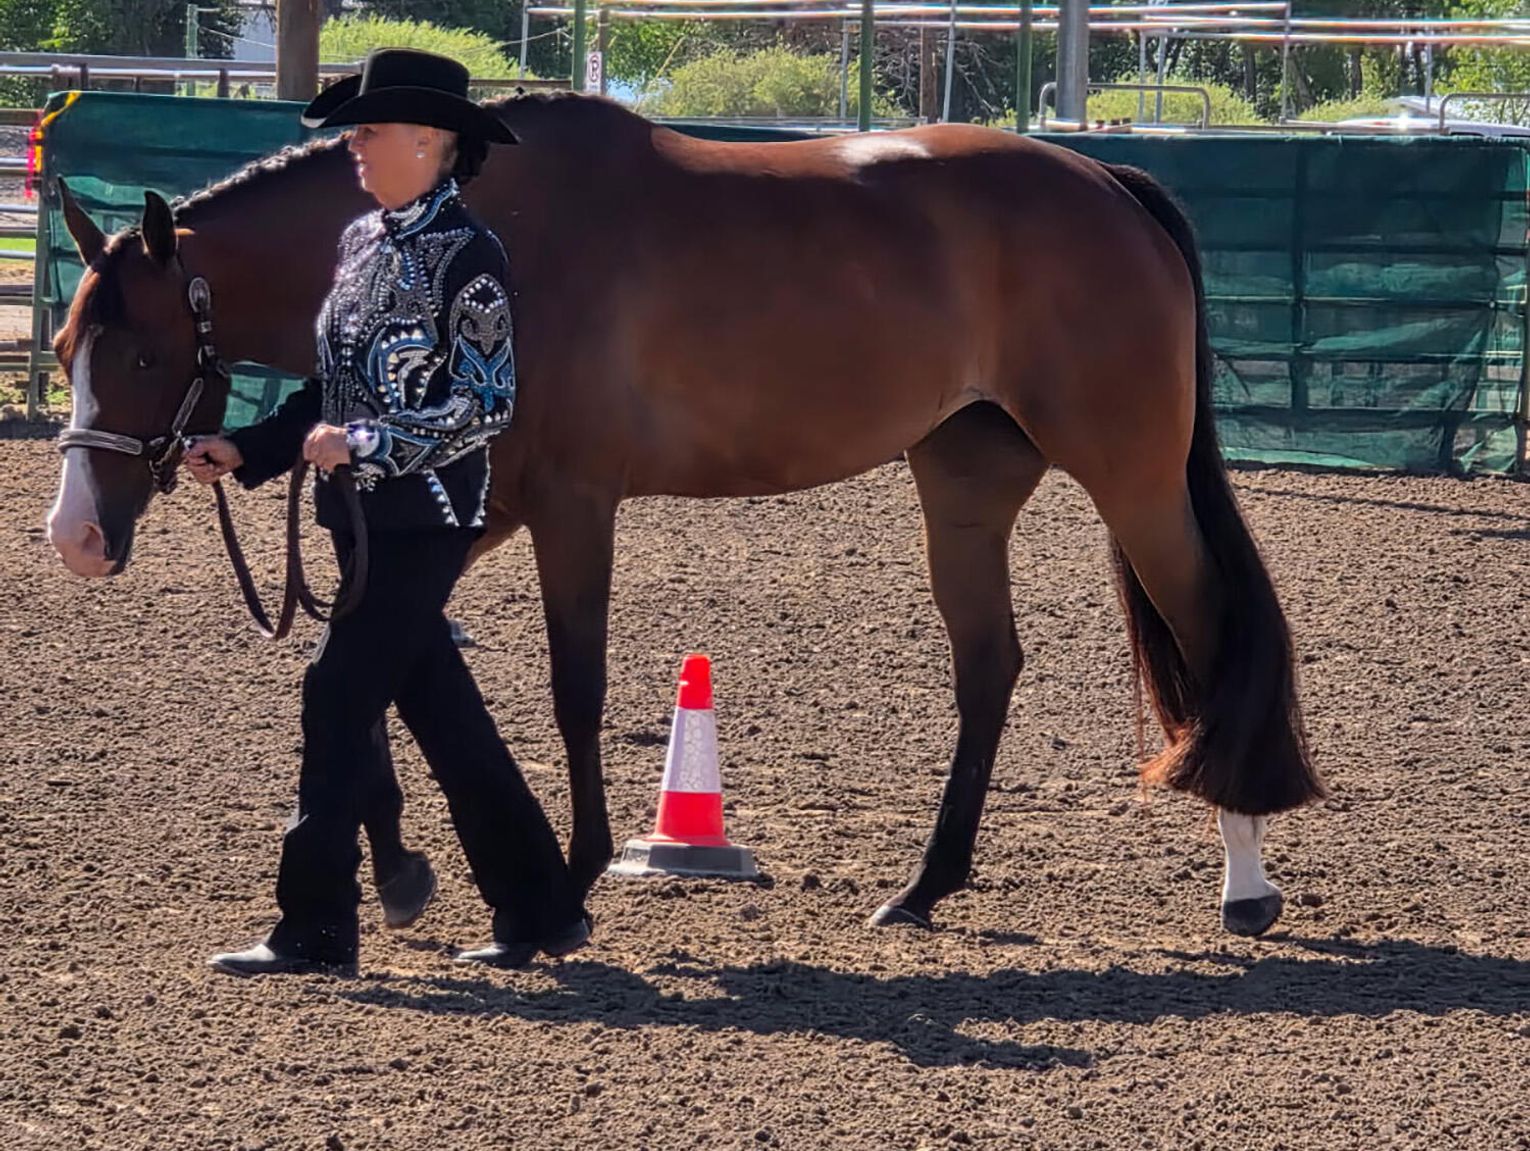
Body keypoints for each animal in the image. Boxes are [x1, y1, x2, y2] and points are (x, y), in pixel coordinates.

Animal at [45, 92, 1325, 937]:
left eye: (147, 351)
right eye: (62, 350)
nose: (77, 537)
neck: (494, 233)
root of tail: (1112, 186)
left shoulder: (568, 506)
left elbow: (572, 687)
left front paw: (565, 882)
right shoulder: (469, 507)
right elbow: (381, 667)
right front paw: (404, 867)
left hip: (1132, 477)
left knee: (1211, 633)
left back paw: (1246, 886)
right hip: (962, 484)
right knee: (990, 665)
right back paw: (923, 887)